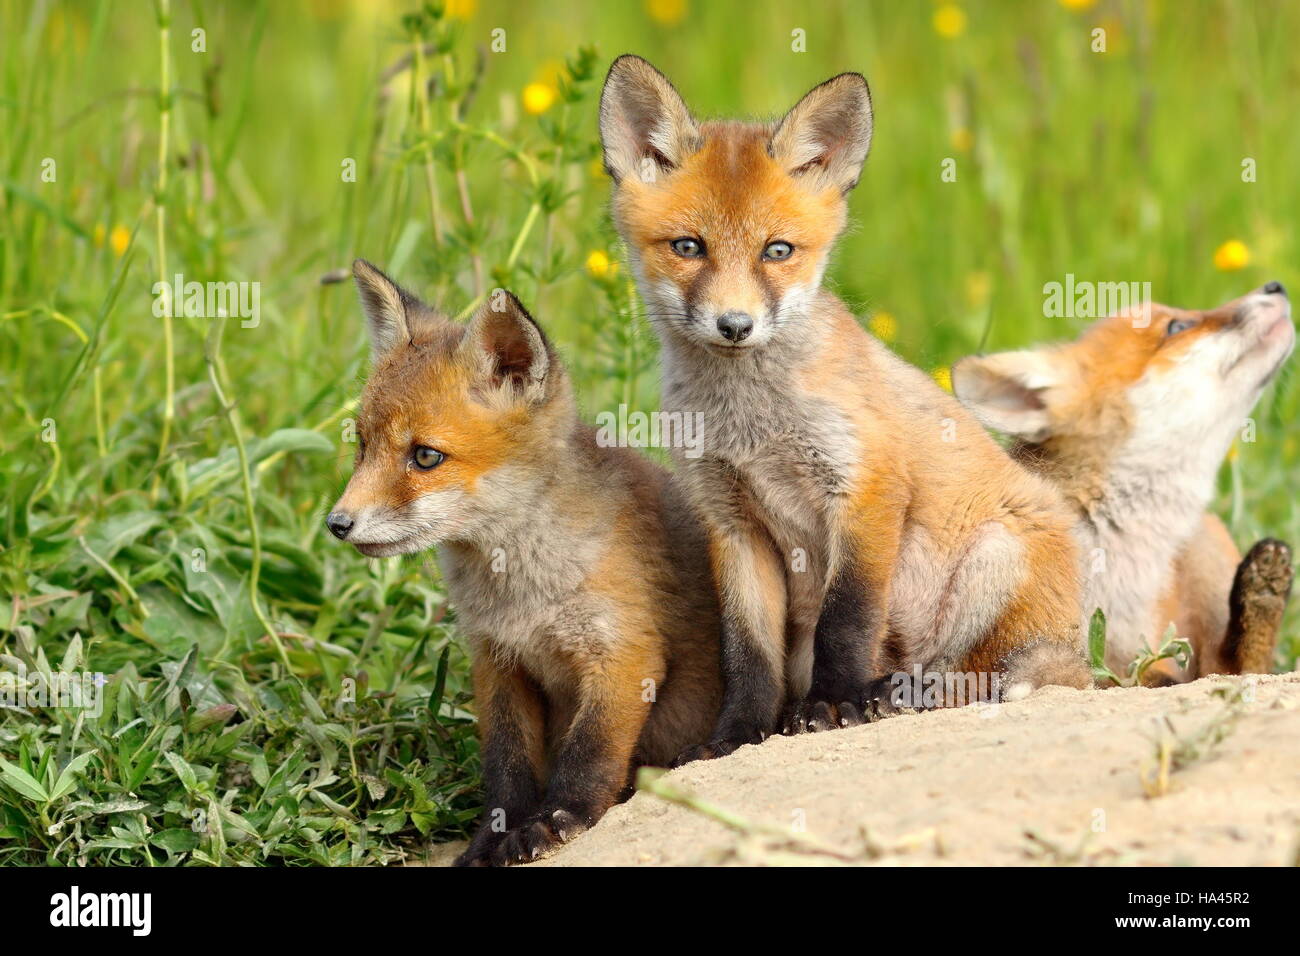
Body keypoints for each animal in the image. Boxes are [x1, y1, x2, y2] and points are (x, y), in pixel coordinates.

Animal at [327, 261, 721, 865]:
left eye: (425, 456)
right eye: (363, 448)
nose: (337, 524)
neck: (523, 598)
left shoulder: (624, 654)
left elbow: (589, 754)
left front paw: (557, 821)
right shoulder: (498, 661)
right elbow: (507, 765)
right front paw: (493, 836)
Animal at [598, 55, 1090, 762]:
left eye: (777, 251)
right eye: (688, 247)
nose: (735, 326)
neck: (753, 423)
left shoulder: (865, 485)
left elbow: (848, 617)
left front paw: (836, 703)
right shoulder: (730, 519)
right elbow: (748, 653)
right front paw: (739, 734)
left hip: (995, 557)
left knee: (975, 675)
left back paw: (903, 690)